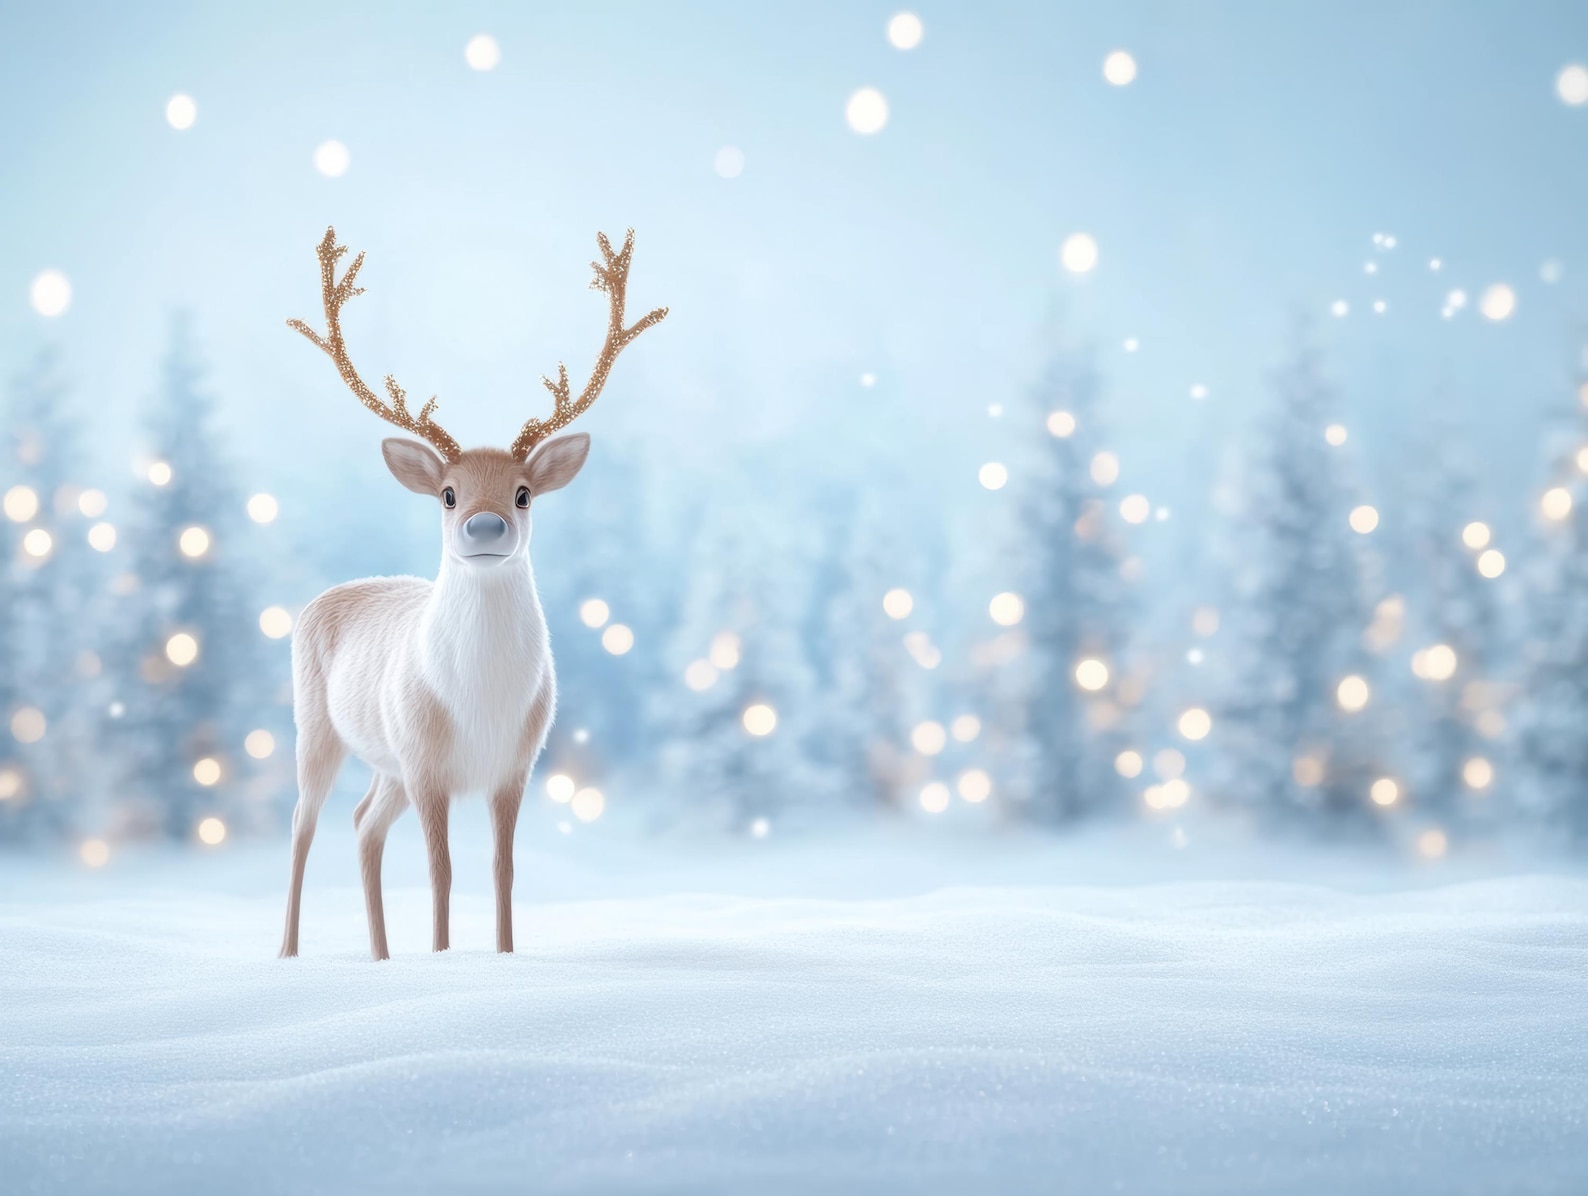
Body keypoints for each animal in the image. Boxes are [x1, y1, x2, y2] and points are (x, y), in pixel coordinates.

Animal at [278, 226, 667, 961]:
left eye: (523, 493)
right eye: (448, 493)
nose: (485, 526)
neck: (480, 702)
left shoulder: (513, 765)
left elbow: (501, 866)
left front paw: (503, 954)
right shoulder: (427, 764)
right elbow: (442, 869)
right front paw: (441, 956)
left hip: (387, 766)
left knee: (363, 823)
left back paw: (380, 955)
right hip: (318, 727)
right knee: (302, 824)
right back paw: (287, 953)